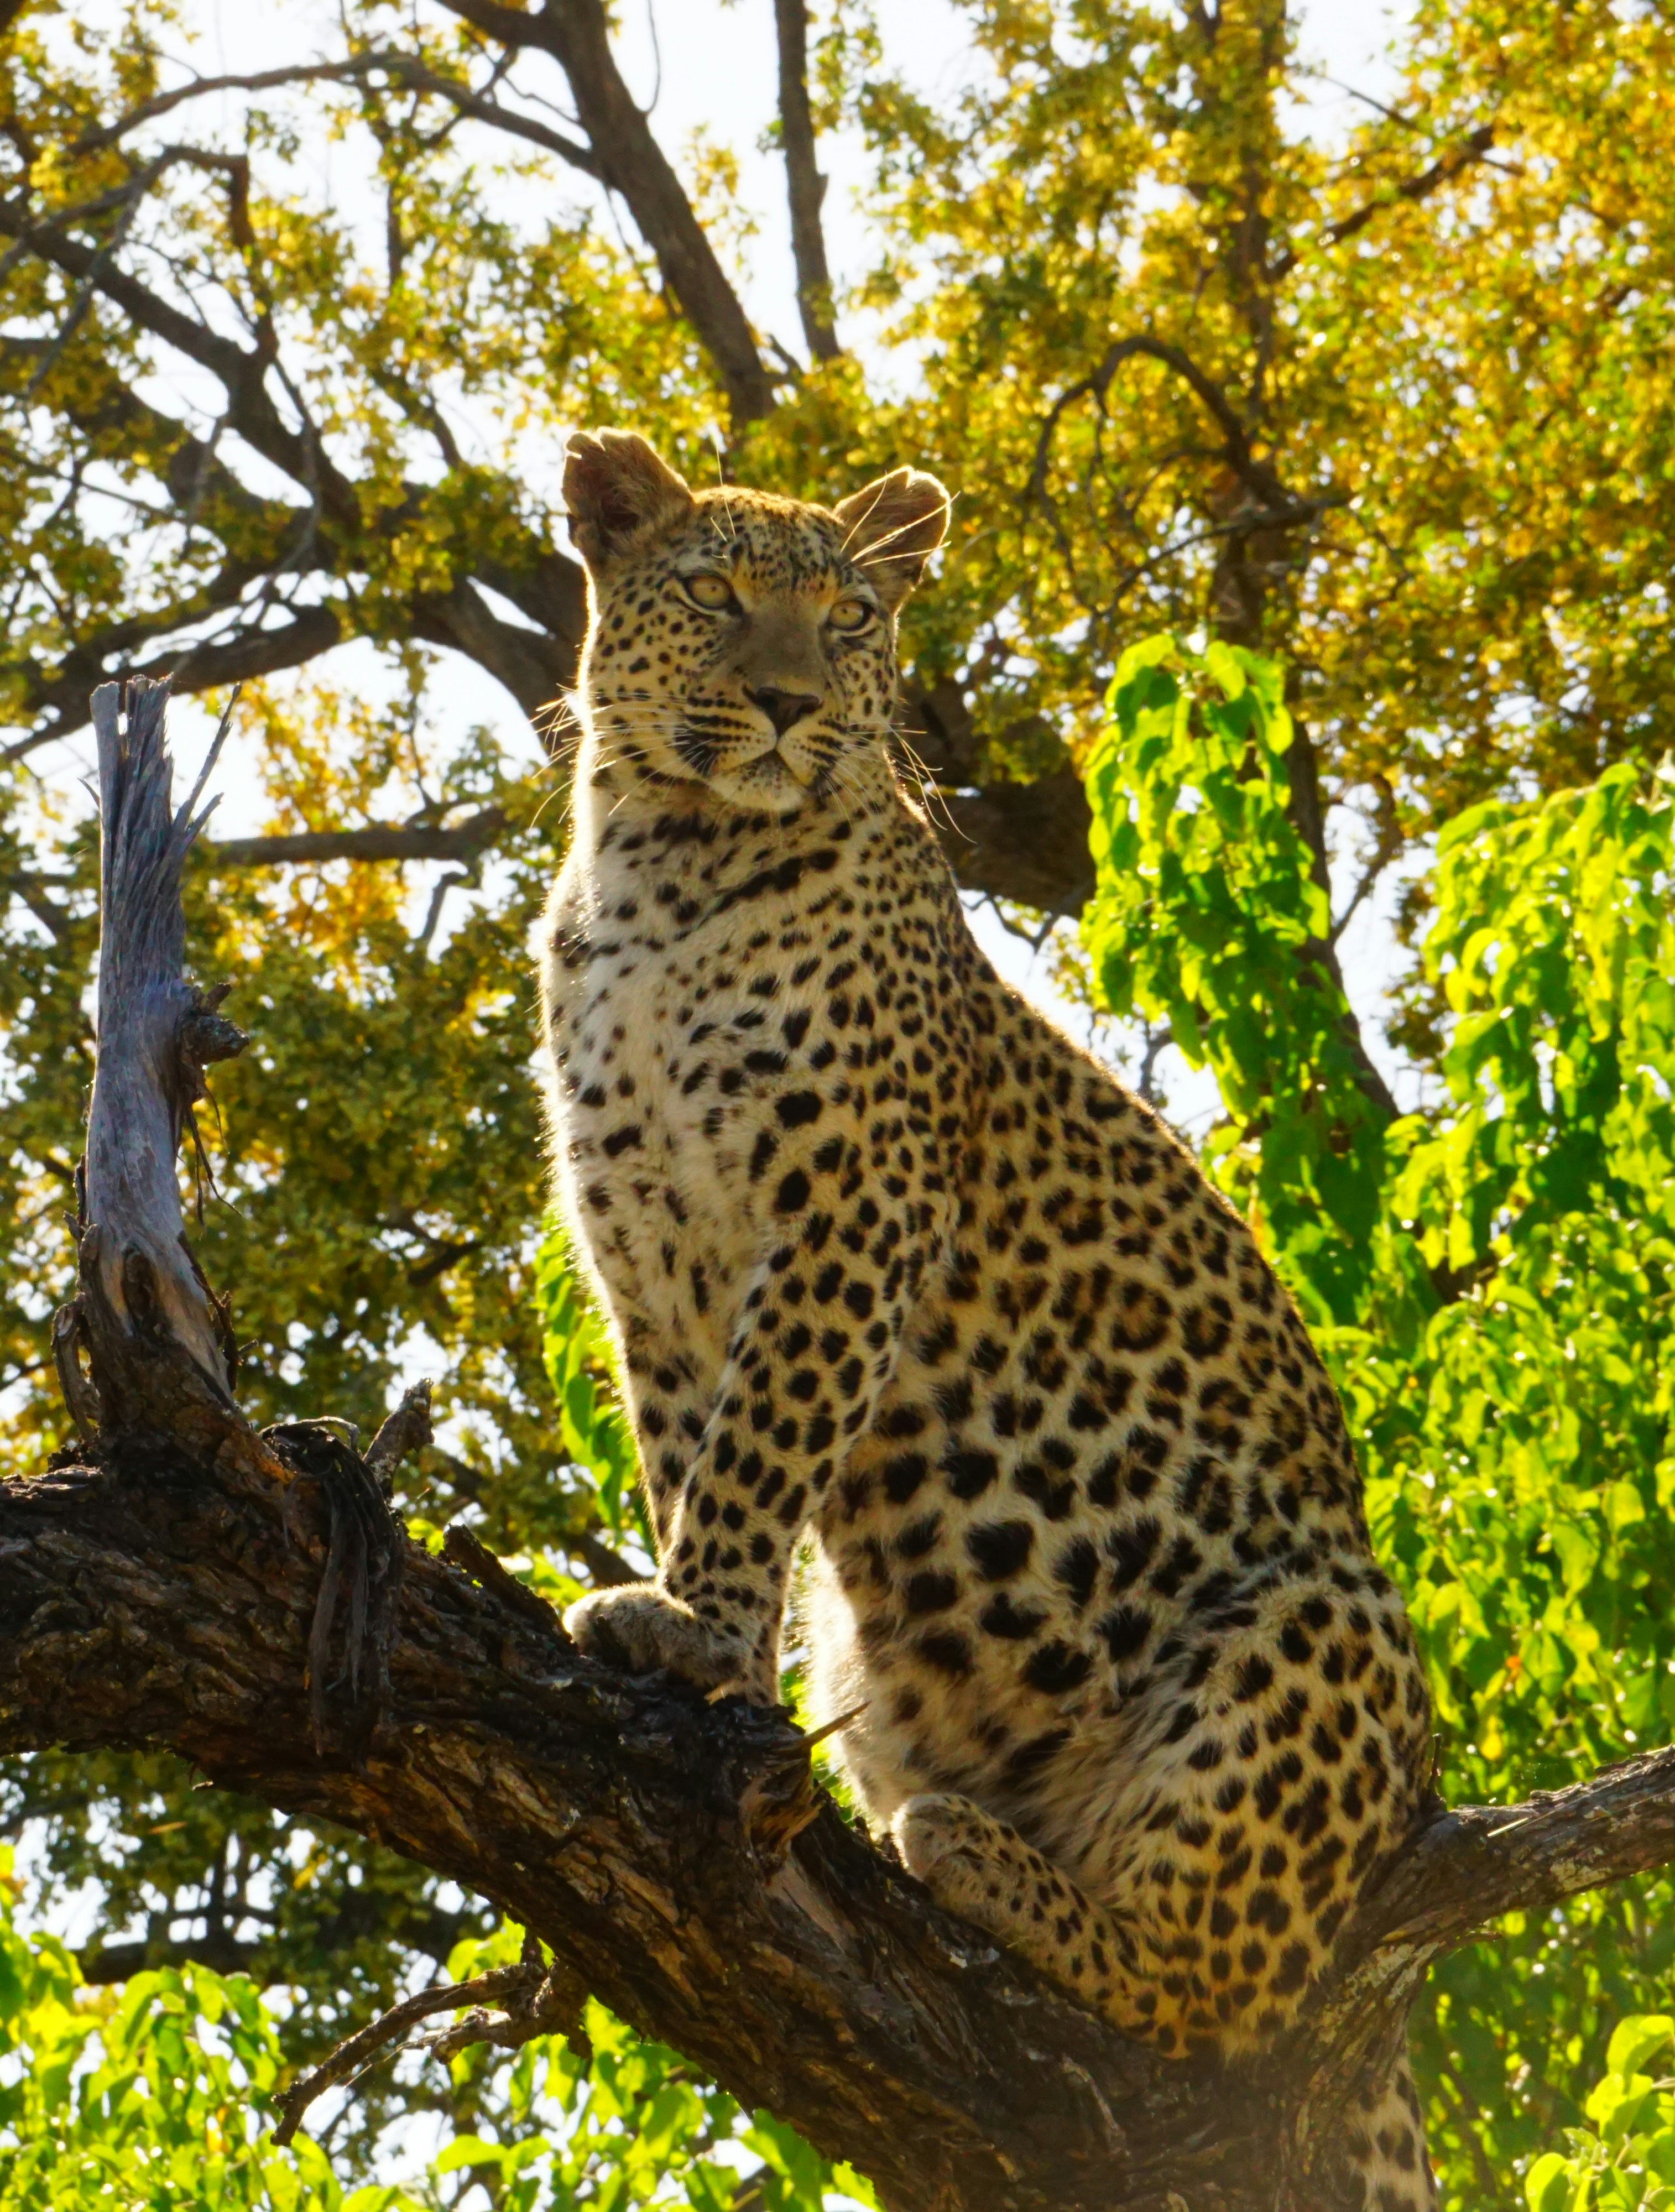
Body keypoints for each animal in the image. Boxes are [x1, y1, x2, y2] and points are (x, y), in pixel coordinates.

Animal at [538, 427, 1439, 2211]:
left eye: (853, 619)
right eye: (715, 594)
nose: (787, 704)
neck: (666, 860)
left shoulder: (845, 1209)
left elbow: (755, 1453)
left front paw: (696, 1632)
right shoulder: (639, 1245)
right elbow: (690, 1451)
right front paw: (702, 1628)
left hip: (1321, 1628)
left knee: (1210, 1998)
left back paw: (978, 1859)